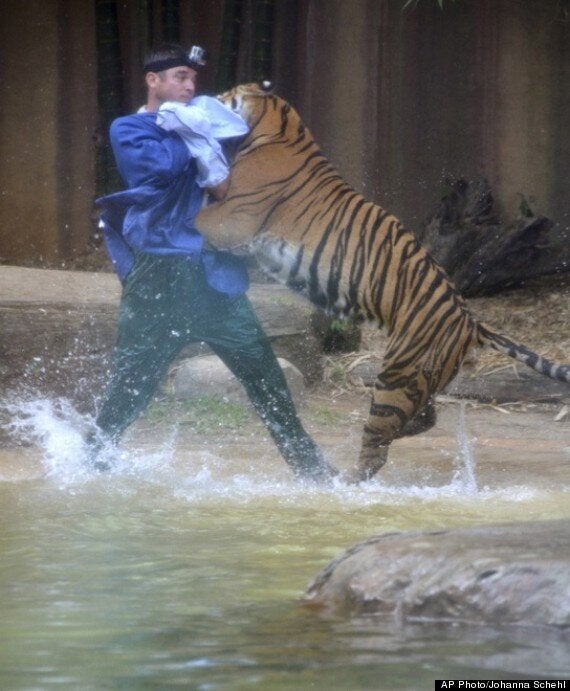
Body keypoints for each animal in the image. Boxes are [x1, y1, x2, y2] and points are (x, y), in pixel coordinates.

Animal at [196, 82, 570, 484]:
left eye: (227, 94)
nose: (209, 97)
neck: (278, 124)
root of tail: (471, 322)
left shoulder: (233, 218)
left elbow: (195, 217)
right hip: (421, 378)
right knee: (423, 418)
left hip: (397, 376)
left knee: (377, 446)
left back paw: (345, 480)